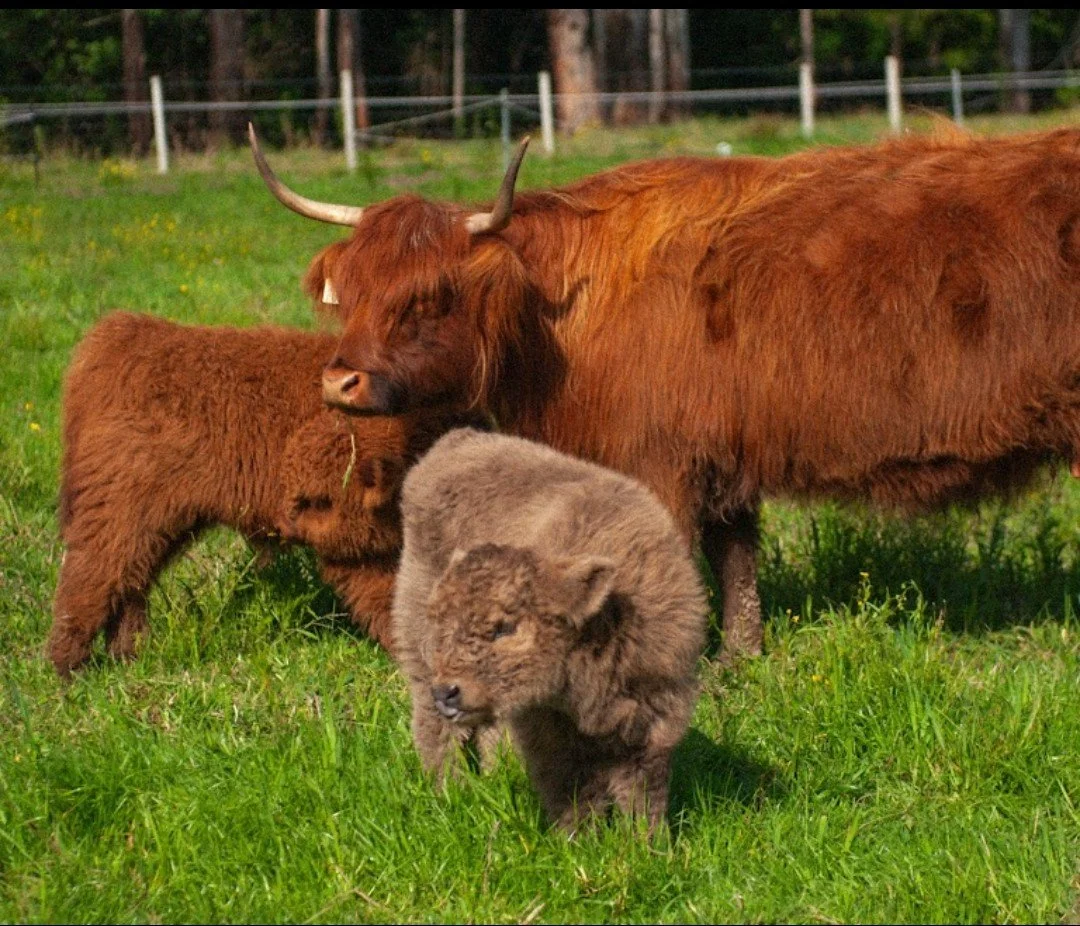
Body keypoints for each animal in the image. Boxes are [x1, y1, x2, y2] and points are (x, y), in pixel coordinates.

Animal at [49, 311, 464, 676]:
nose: (287, 524)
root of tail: (122, 337)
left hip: (157, 522)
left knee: (130, 582)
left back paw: (127, 657)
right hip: (121, 510)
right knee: (91, 577)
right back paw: (69, 672)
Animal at [250, 123, 1080, 660]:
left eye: (426, 298)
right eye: (350, 292)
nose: (340, 380)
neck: (565, 313)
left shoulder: (657, 464)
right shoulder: (721, 453)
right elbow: (736, 557)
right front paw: (743, 657)